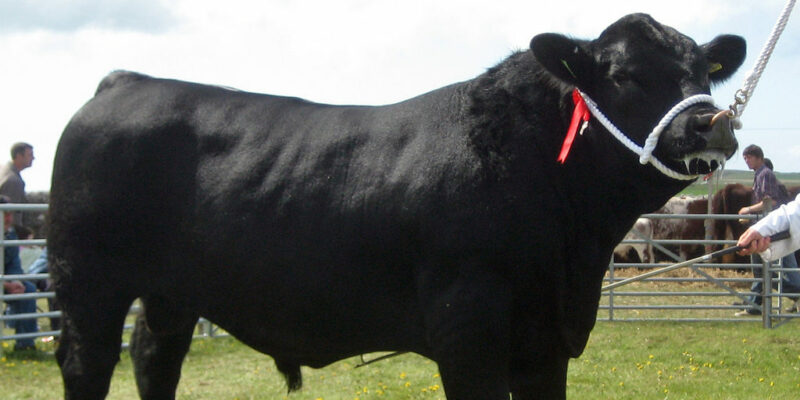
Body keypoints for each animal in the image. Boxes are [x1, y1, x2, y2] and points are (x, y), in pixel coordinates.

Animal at [48, 14, 745, 400]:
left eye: (703, 73)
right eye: (625, 75)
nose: (713, 123)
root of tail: (127, 82)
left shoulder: (545, 338)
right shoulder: (468, 330)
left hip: (171, 292)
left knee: (153, 357)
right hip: (87, 281)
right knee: (88, 363)